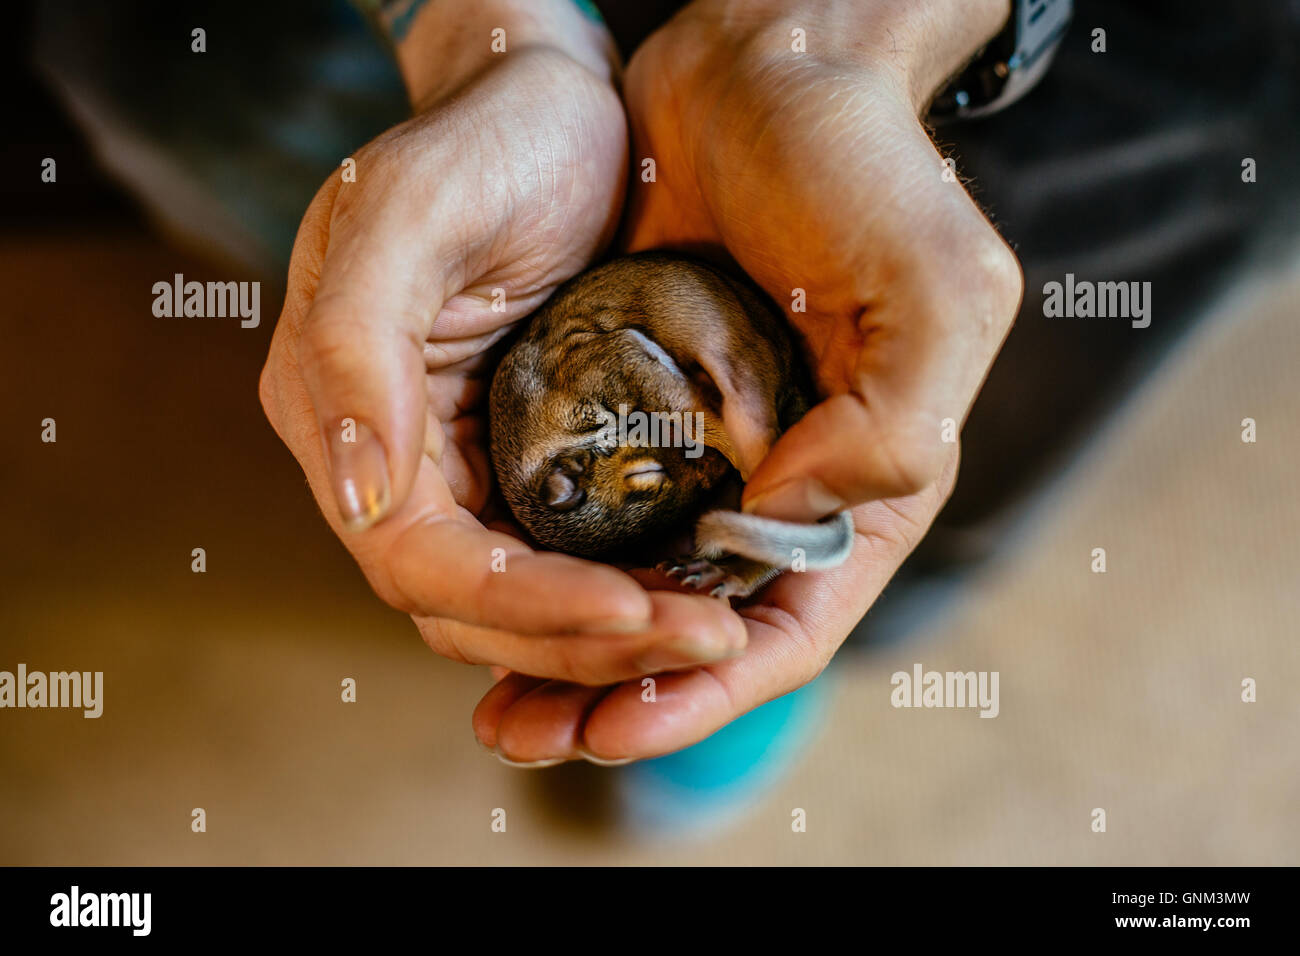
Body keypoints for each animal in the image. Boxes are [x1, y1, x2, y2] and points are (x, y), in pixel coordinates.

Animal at [488, 252, 853, 599]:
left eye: (646, 473)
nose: (717, 470)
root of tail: (795, 385)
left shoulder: (602, 360)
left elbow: (687, 412)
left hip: (734, 356)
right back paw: (725, 572)